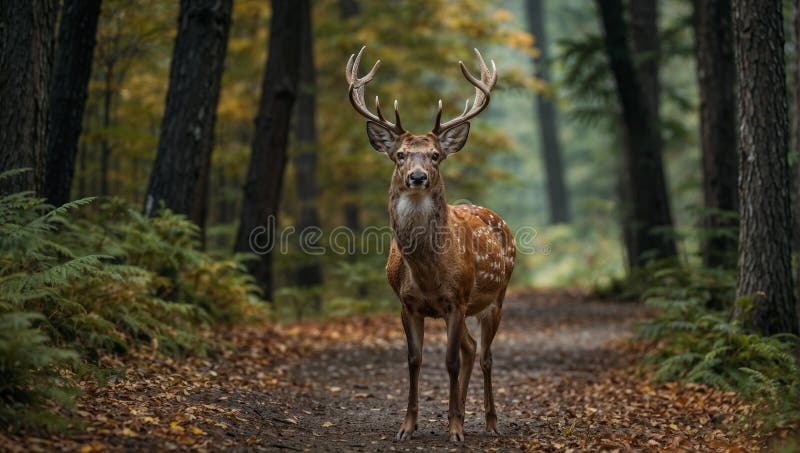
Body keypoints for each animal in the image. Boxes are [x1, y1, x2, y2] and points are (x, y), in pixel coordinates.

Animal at [345, 46, 515, 443]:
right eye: (400, 155)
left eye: (435, 155)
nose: (418, 176)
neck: (427, 273)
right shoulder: (407, 304)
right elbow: (414, 360)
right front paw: (408, 426)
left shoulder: (457, 299)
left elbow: (449, 361)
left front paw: (454, 428)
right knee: (471, 348)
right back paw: (464, 413)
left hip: (495, 297)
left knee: (484, 355)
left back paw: (488, 422)